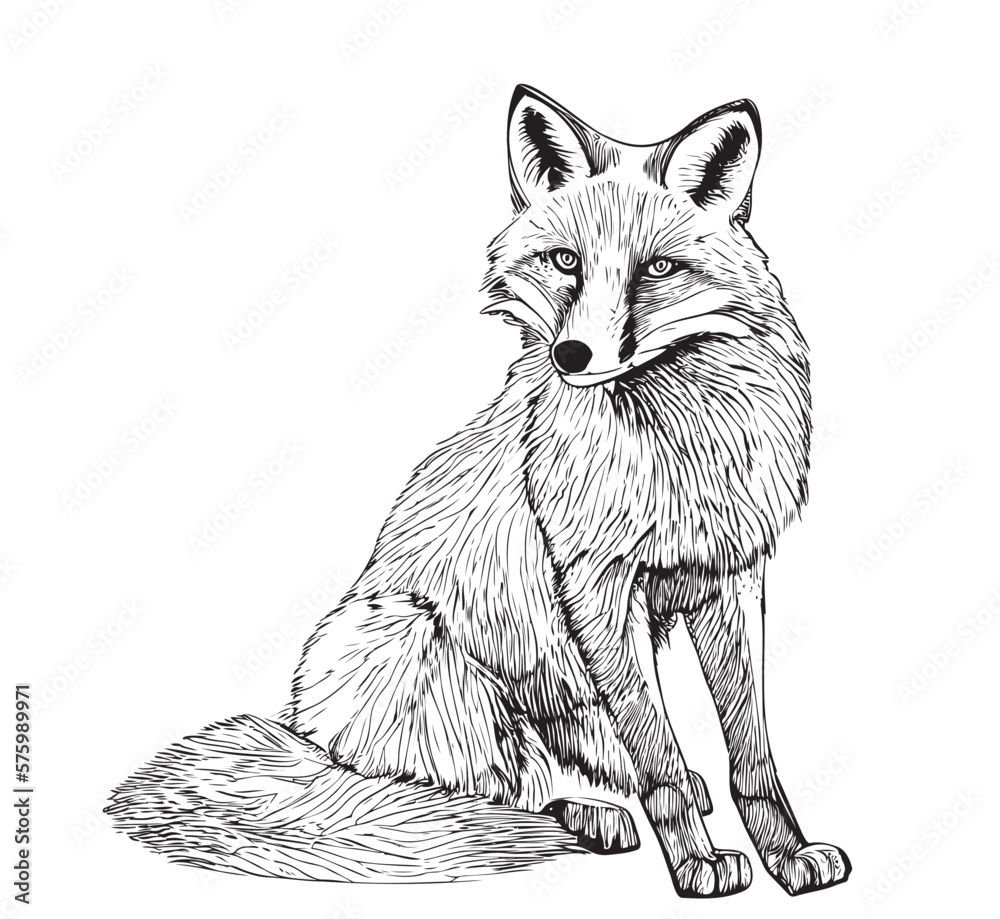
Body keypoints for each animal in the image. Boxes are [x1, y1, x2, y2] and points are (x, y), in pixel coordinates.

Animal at [108, 85, 850, 899]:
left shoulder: (730, 577)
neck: (677, 440)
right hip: (425, 656)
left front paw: (787, 855)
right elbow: (656, 760)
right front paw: (695, 863)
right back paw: (587, 816)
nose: (572, 355)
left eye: (657, 268)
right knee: (488, 795)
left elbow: (752, 758)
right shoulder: (596, 585)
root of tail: (304, 735)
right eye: (564, 261)